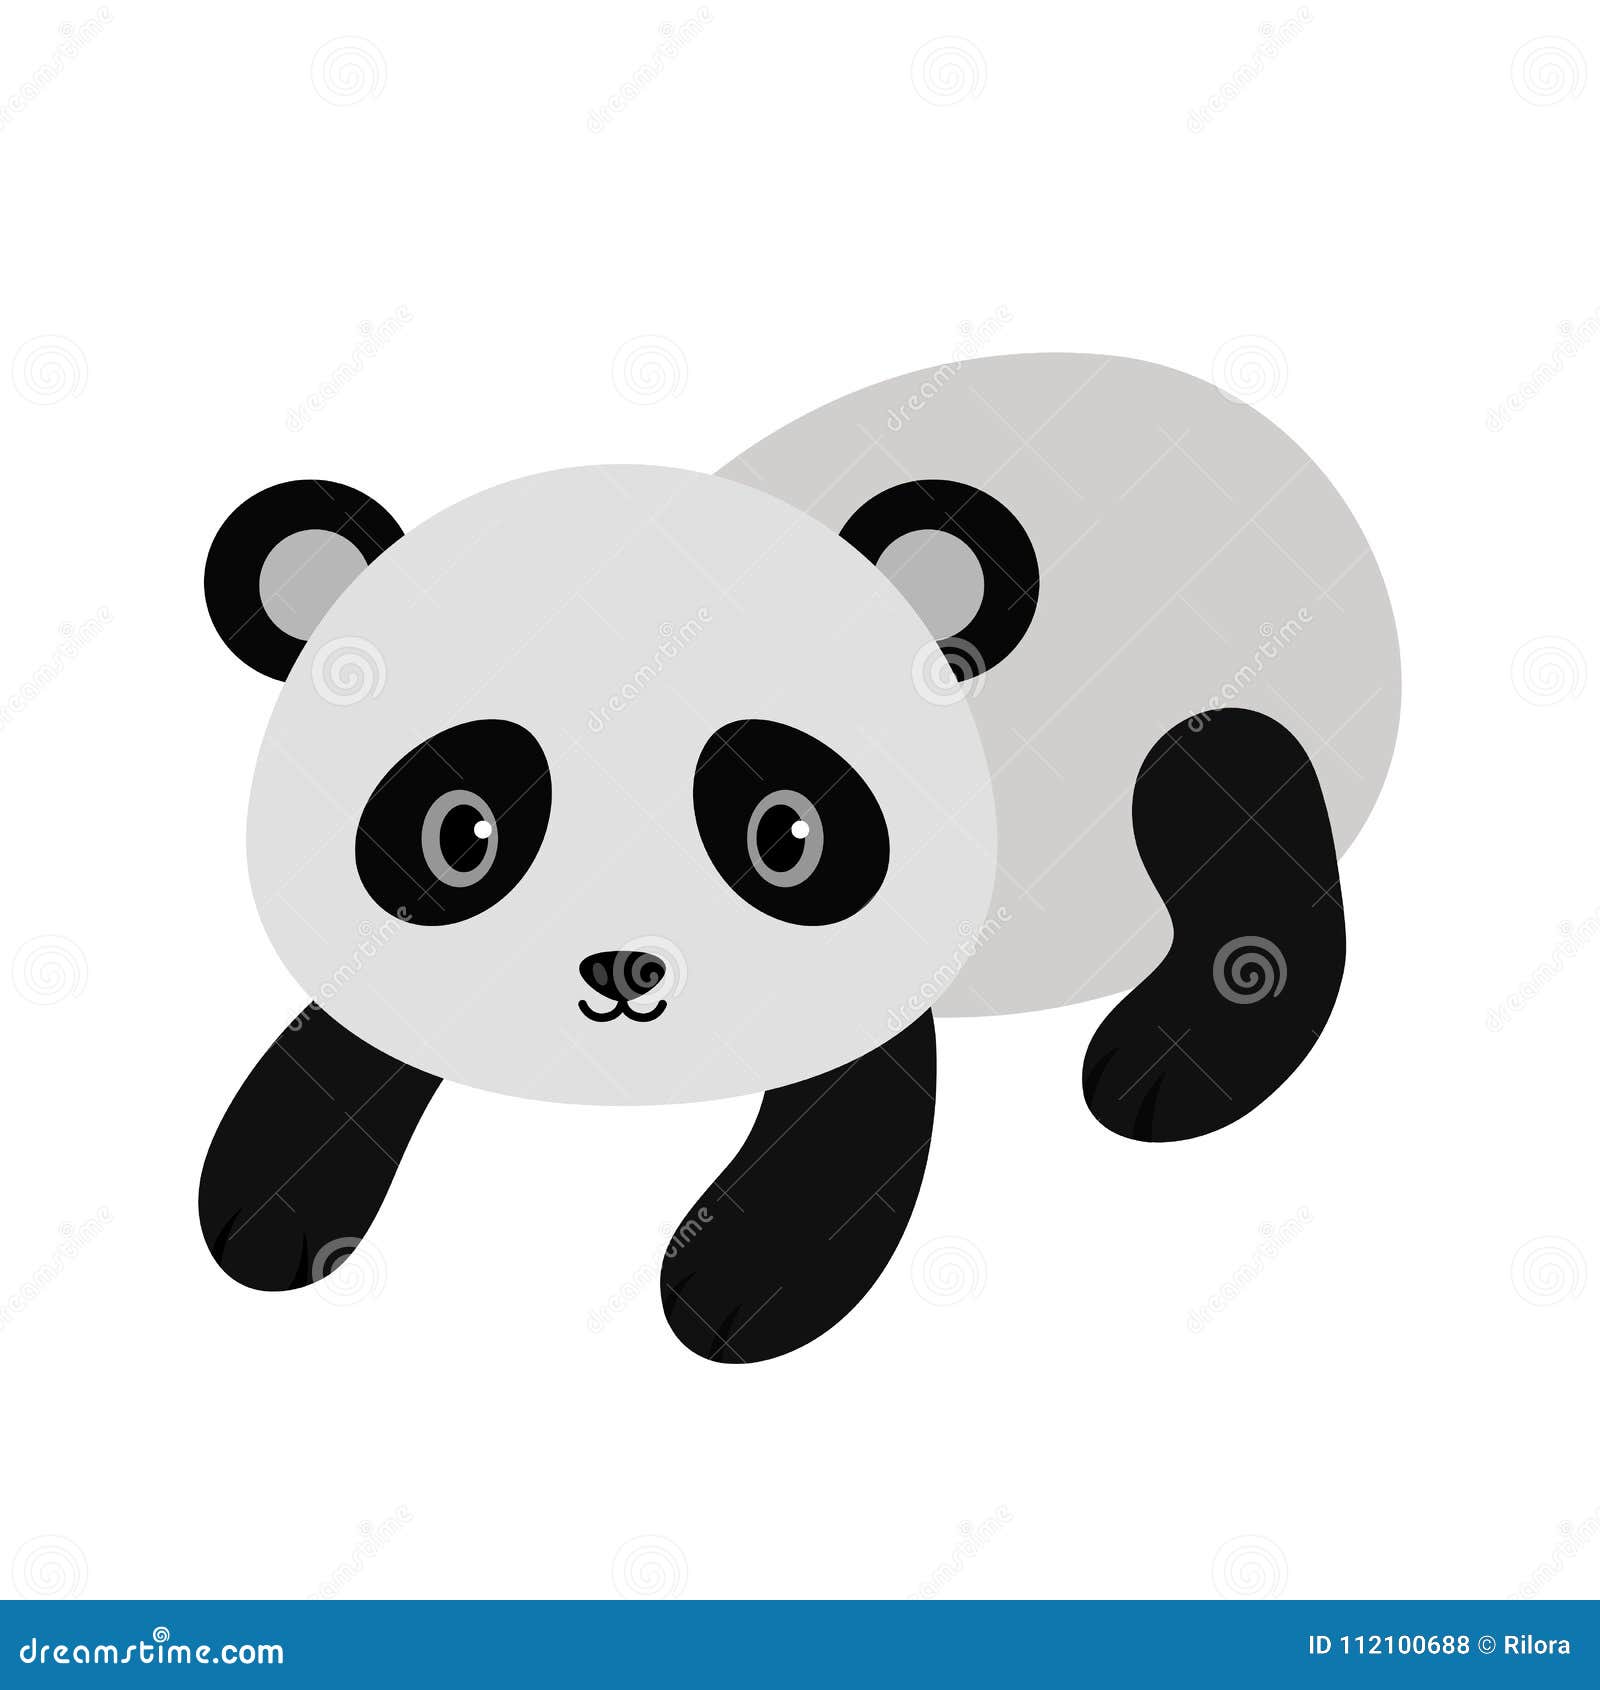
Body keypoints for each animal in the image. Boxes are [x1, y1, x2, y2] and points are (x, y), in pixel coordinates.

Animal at [201, 466, 998, 1364]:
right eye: (460, 832)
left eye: (788, 833)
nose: (623, 968)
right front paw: (266, 1217)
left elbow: (846, 1128)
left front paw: (737, 1286)